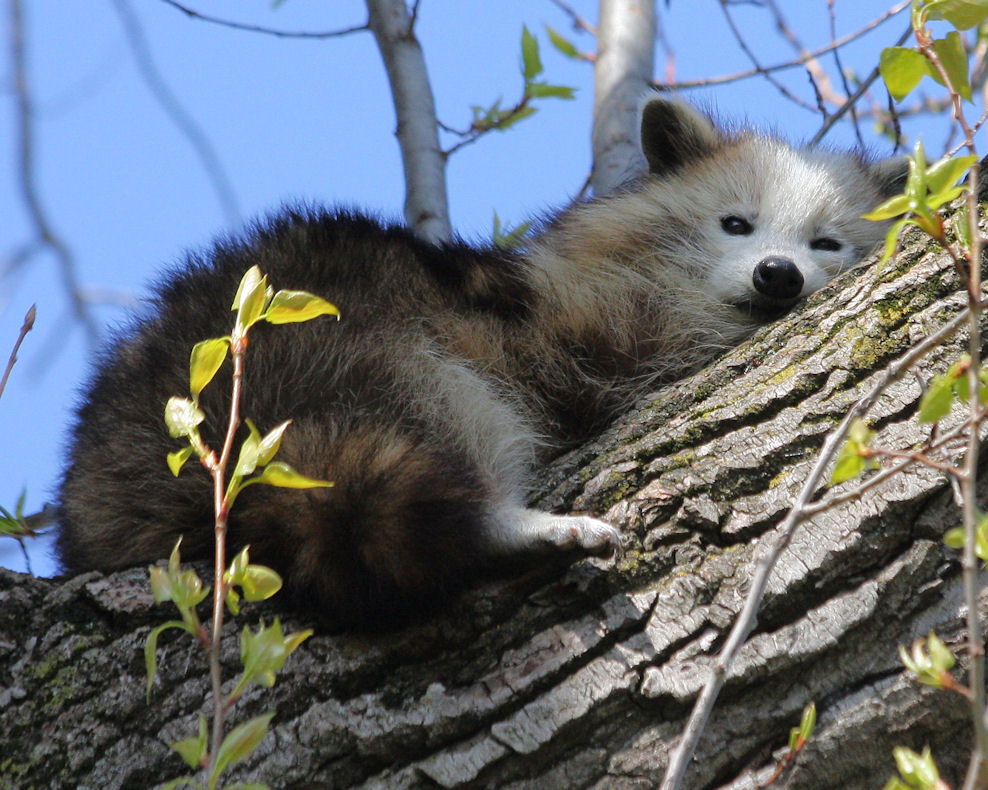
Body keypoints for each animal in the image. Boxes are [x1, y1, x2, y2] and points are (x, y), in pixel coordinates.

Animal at [56, 98, 907, 629]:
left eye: (827, 242)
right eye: (736, 224)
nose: (779, 275)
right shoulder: (598, 324)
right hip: (352, 349)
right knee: (452, 416)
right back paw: (507, 522)